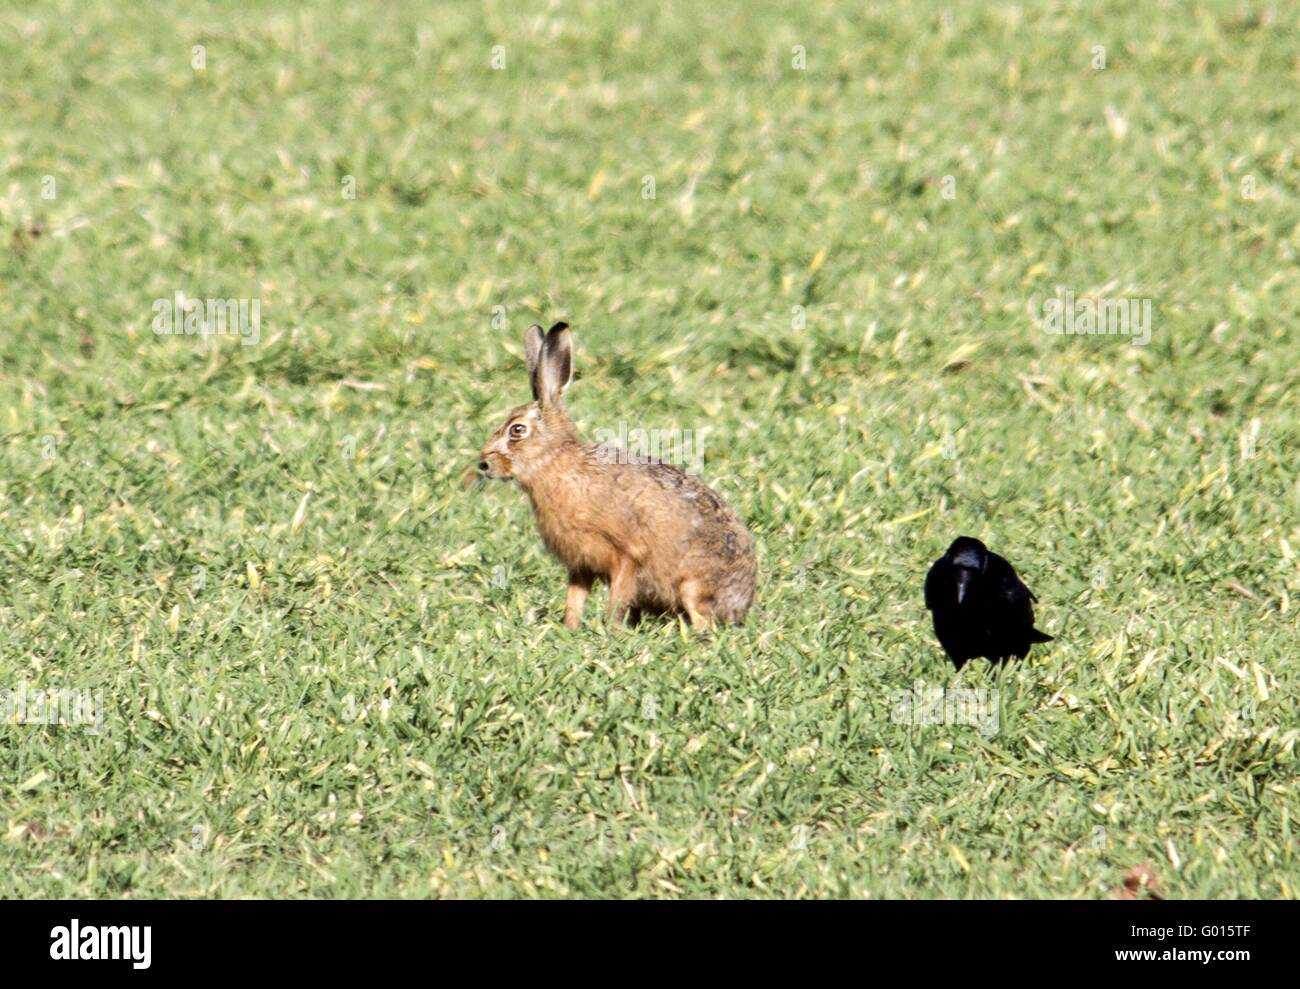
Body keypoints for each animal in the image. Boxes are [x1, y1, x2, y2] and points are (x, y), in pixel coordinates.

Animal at [477, 322, 756, 628]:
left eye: (517, 430)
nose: (484, 463)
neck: (555, 462)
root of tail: (741, 603)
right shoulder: (581, 563)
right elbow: (574, 599)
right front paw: (570, 629)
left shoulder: (626, 554)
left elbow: (618, 596)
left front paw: (611, 631)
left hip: (693, 585)